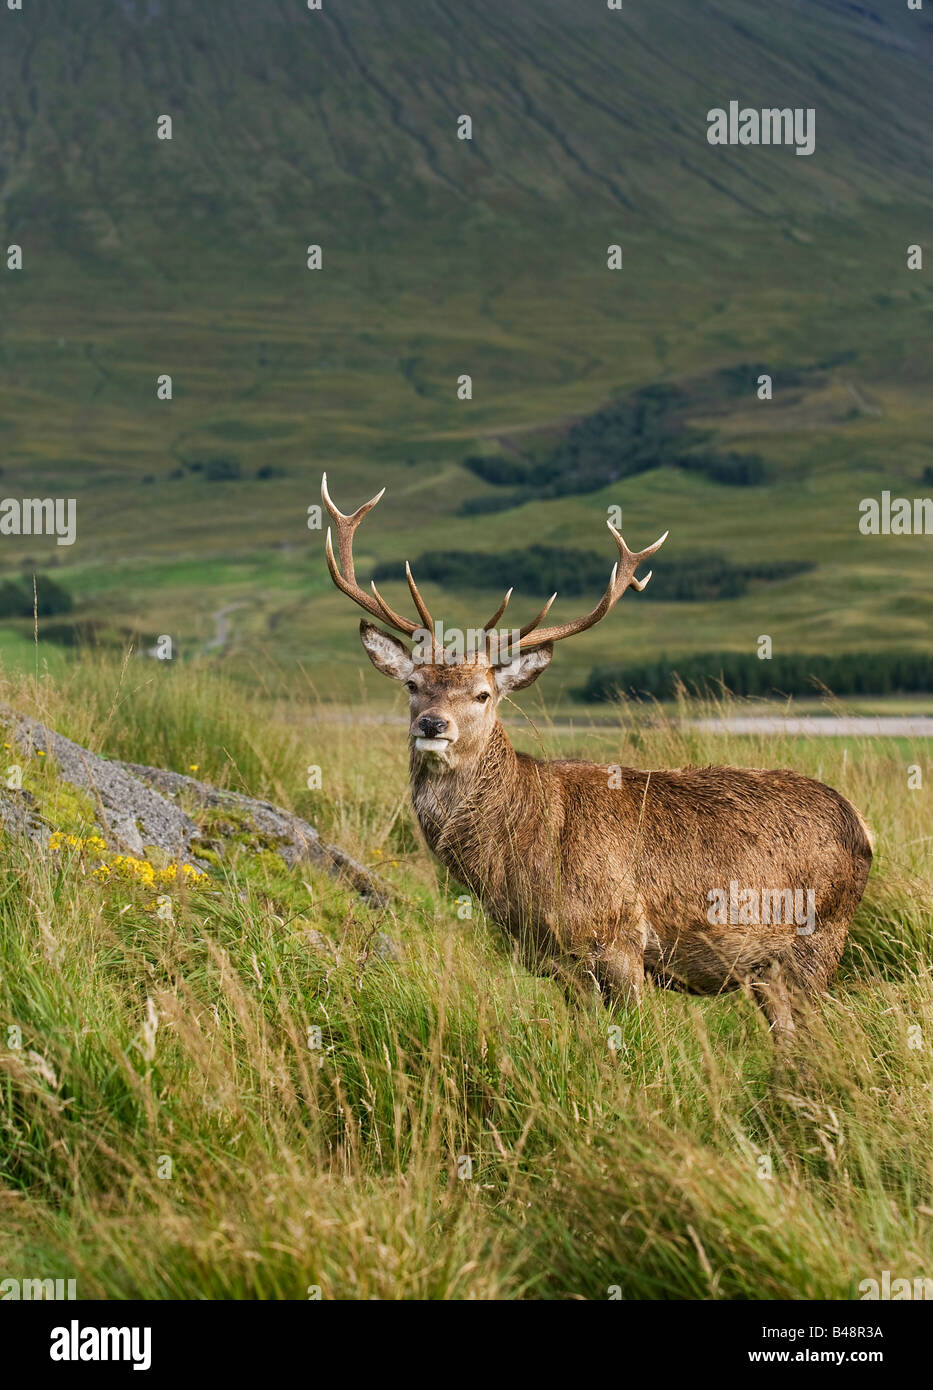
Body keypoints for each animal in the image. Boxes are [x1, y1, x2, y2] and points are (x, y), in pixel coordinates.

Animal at [321, 475, 873, 1035]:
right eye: (413, 684)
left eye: (483, 694)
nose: (432, 724)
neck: (518, 856)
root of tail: (862, 825)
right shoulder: (551, 959)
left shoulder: (618, 937)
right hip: (770, 970)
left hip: (818, 941)